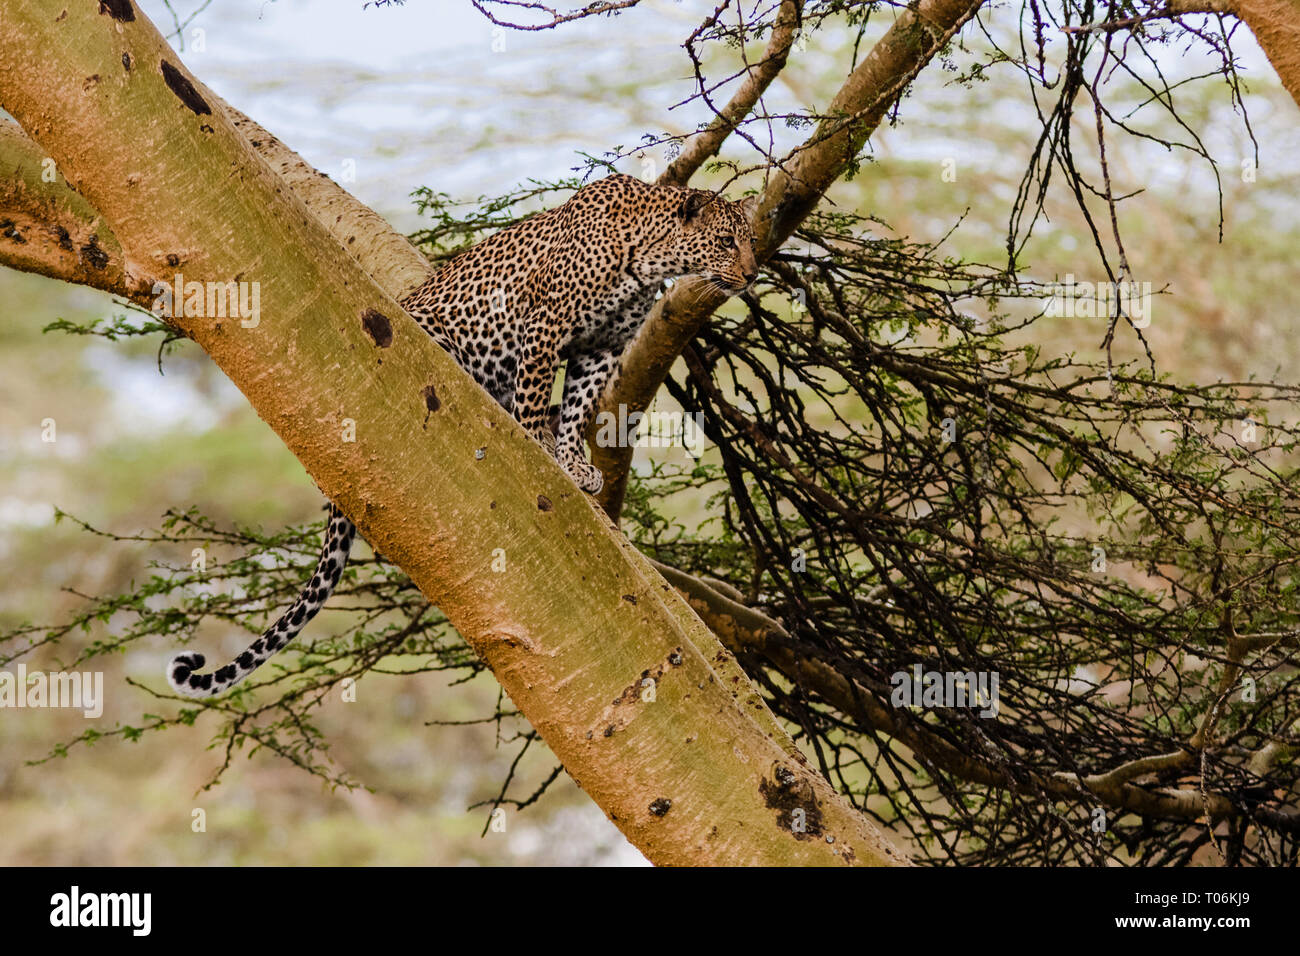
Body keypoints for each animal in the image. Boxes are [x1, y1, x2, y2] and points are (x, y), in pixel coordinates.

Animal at [166, 173, 758, 698]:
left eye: (751, 242)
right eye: (725, 241)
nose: (752, 275)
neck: (647, 259)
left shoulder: (602, 347)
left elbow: (578, 407)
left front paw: (574, 462)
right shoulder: (545, 326)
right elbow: (536, 397)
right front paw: (541, 447)